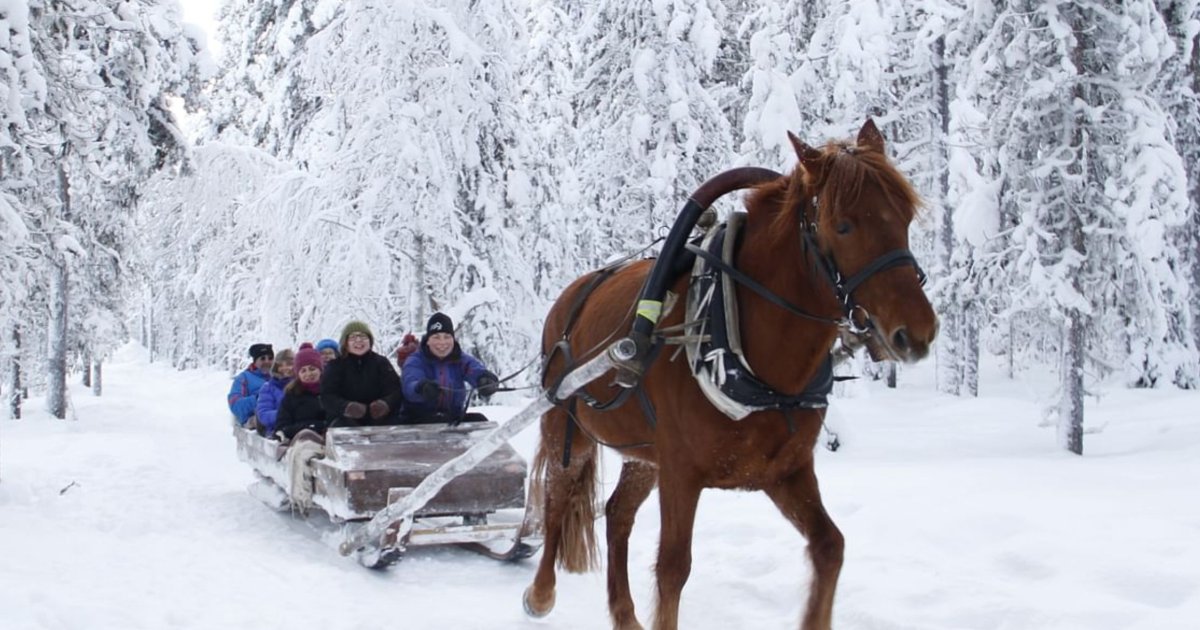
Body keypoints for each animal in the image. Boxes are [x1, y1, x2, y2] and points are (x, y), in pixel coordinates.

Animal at [522, 120, 938, 630]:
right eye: (843, 225)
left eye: (905, 218)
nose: (916, 332)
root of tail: (572, 294)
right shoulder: (681, 473)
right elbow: (673, 568)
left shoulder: (786, 472)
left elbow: (830, 546)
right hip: (567, 424)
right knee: (557, 496)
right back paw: (540, 593)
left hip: (643, 455)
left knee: (618, 513)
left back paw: (623, 613)